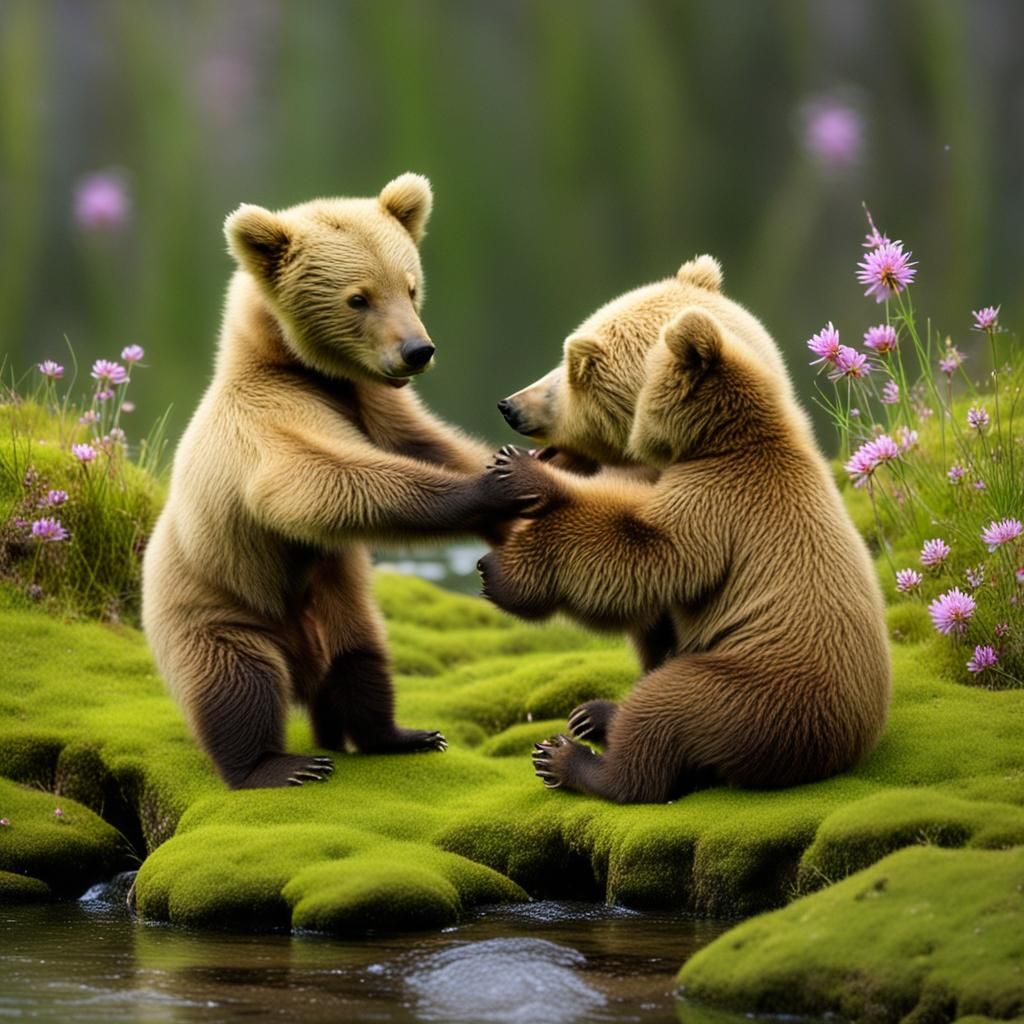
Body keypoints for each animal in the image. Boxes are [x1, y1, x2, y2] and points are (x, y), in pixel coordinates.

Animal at [142, 174, 524, 789]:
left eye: (411, 286)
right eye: (358, 297)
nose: (417, 350)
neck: (305, 371)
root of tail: (302, 667)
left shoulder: (375, 407)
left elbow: (432, 447)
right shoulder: (271, 421)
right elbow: (328, 482)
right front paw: (496, 490)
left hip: (343, 610)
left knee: (363, 665)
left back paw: (397, 734)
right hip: (216, 608)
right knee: (237, 683)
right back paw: (278, 765)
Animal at [480, 290, 891, 803]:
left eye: (575, 368)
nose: (507, 407)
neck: (721, 439)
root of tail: (850, 746)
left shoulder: (719, 502)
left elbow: (644, 550)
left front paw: (515, 498)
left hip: (755, 693)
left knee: (665, 708)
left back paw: (568, 756)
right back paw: (596, 715)